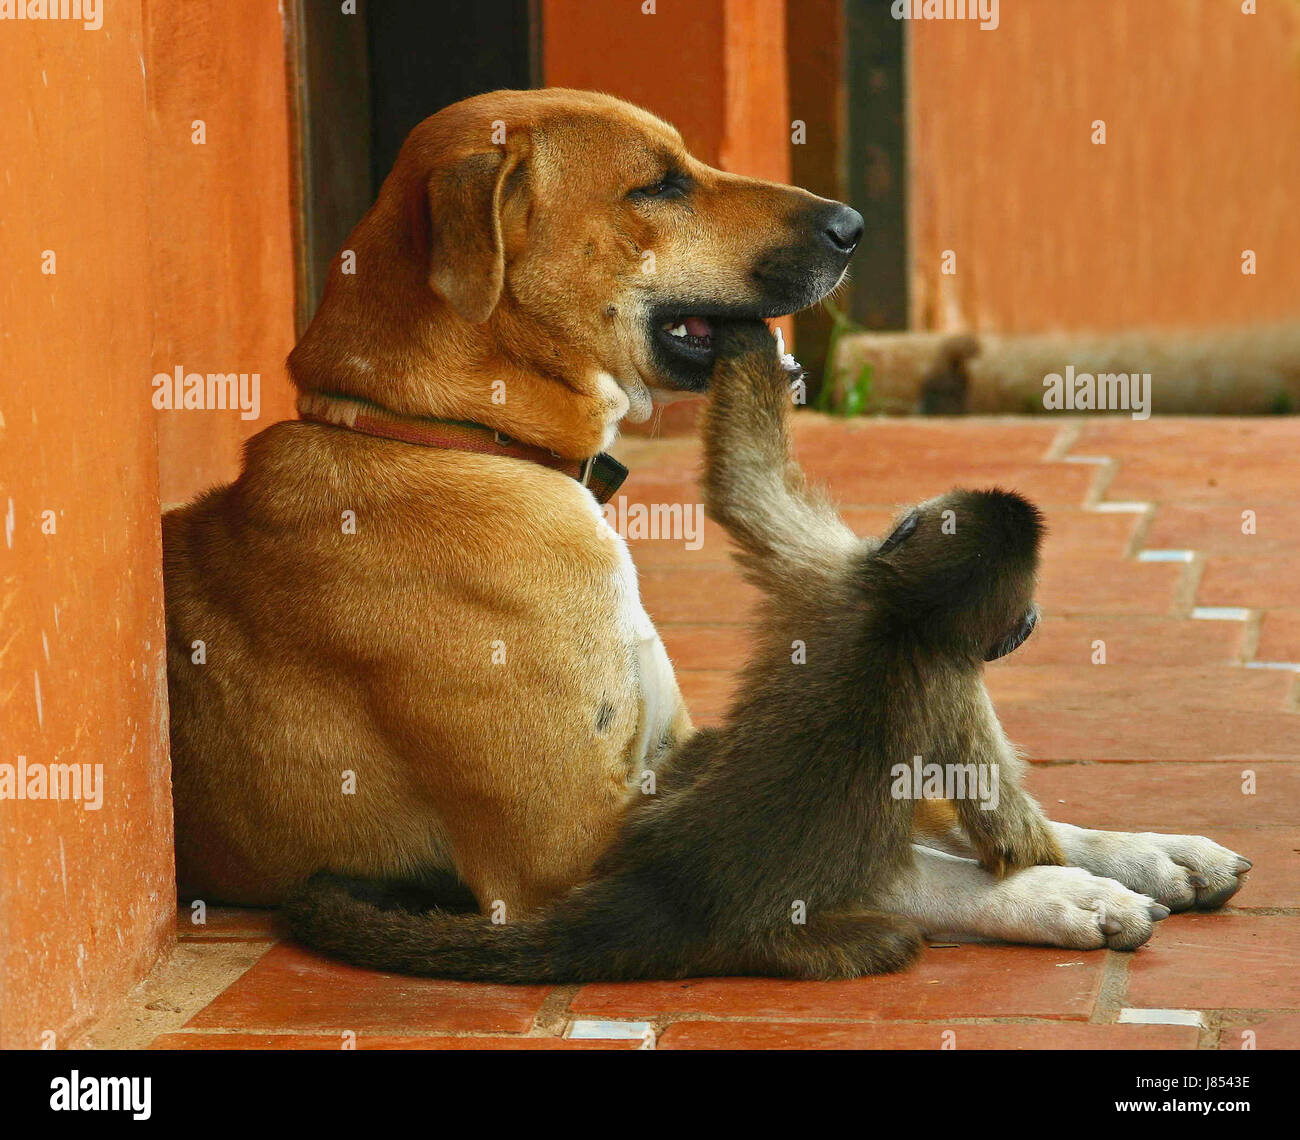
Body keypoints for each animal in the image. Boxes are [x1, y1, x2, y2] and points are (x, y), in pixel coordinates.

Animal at [285, 321, 1102, 981]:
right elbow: (1011, 841)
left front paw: (751, 344)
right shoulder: (944, 672)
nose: (1031, 622)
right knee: (886, 936)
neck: (905, 616)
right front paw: (1040, 865)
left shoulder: (837, 574)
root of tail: (670, 894)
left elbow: (746, 483)